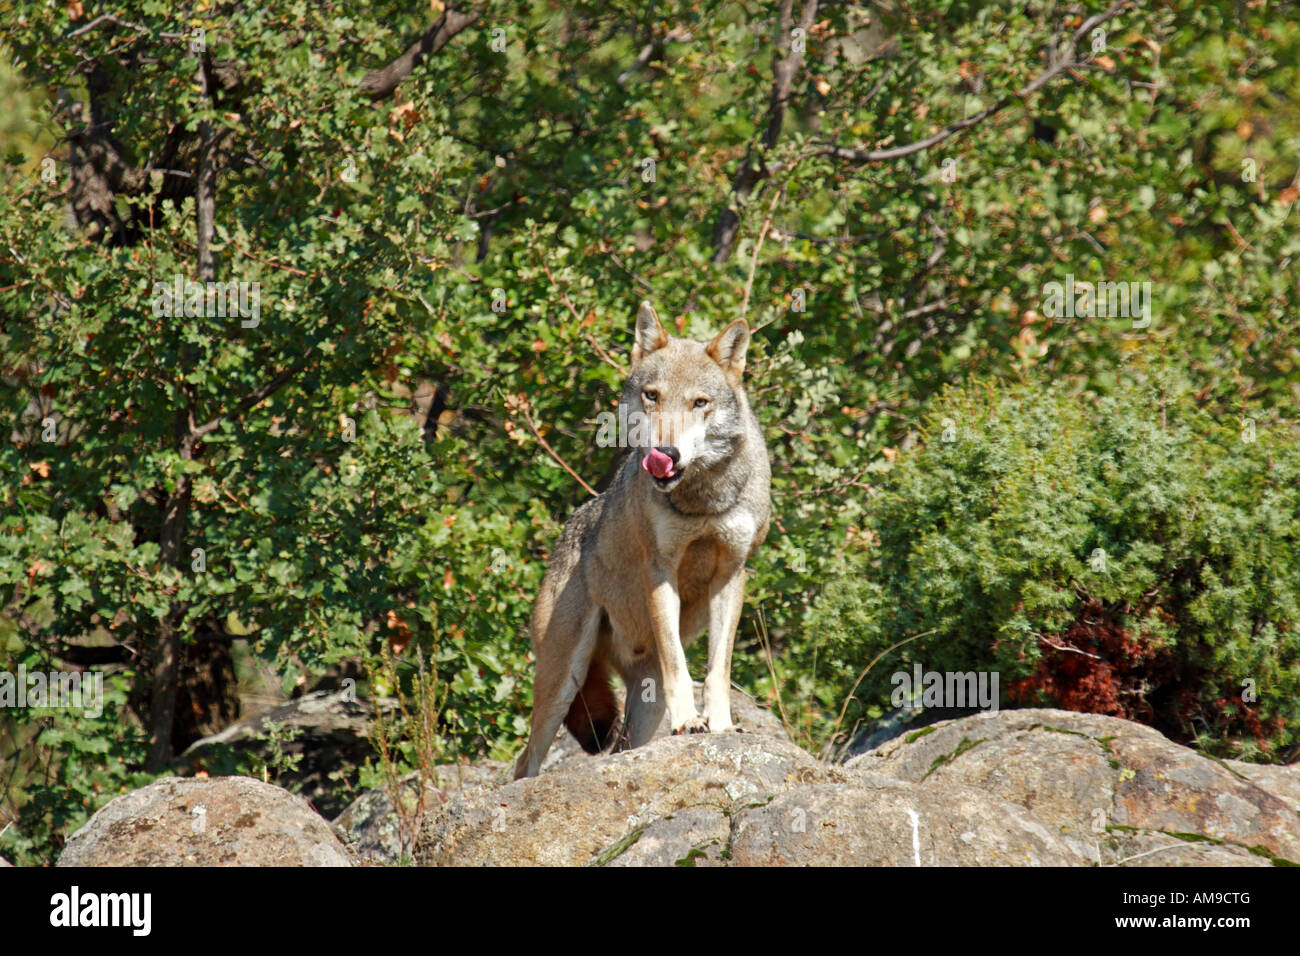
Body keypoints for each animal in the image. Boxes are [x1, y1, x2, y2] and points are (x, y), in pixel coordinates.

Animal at [513, 301, 771, 779]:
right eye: (652, 396)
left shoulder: (732, 573)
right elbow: (678, 663)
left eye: (699, 403)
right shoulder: (660, 568)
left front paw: (721, 725)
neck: (703, 500)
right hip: (563, 681)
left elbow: (718, 669)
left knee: (622, 749)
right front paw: (689, 721)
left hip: (642, 706)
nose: (664, 455)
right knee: (527, 759)